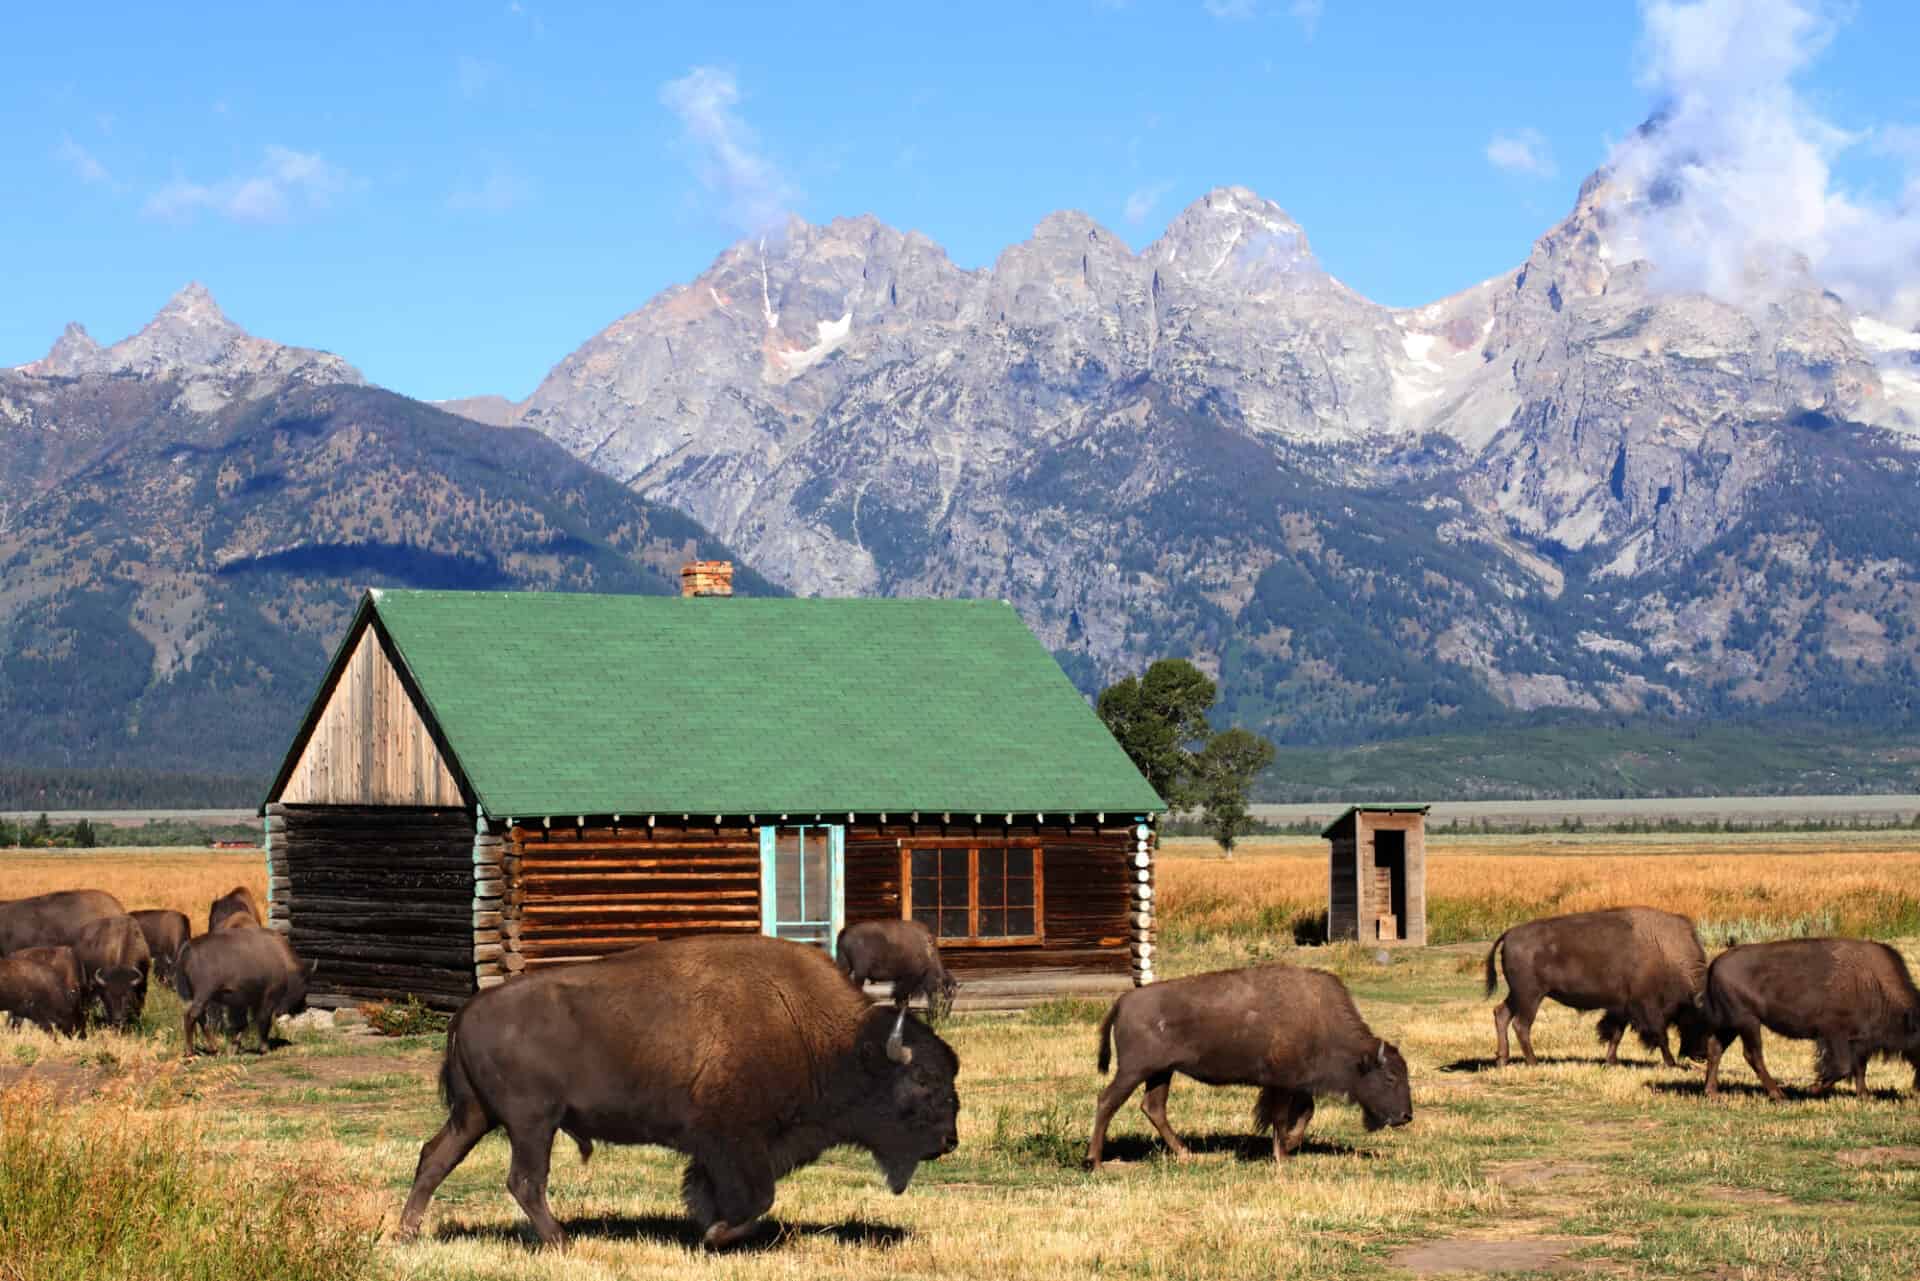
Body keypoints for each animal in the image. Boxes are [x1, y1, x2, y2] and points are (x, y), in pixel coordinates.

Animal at [174, 927, 310, 1056]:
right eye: (304, 984)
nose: (303, 1007)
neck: (283, 961)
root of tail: (188, 947)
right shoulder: (267, 999)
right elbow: (263, 1021)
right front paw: (265, 1049)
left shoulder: (246, 1003)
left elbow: (244, 1025)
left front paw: (233, 1049)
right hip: (204, 994)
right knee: (191, 1015)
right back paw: (191, 1052)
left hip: (197, 996)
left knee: (200, 1018)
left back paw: (214, 1049)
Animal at [398, 934, 962, 1250]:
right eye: (923, 1080)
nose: (950, 1141)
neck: (829, 1040)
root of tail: (468, 1011)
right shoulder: (734, 1140)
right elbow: (758, 1196)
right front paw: (714, 1236)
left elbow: (722, 1192)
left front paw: (706, 1224)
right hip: (532, 1123)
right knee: (524, 1181)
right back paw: (562, 1243)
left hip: (476, 1116)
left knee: (434, 1157)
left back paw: (408, 1232)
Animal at [1085, 963, 1412, 1170]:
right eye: (1390, 1077)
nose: (1406, 1116)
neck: (1320, 1021)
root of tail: (1123, 1000)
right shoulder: (1282, 1084)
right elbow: (1281, 1117)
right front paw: (1282, 1156)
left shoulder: (1297, 1085)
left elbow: (1305, 1112)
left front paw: (1289, 1146)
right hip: (1133, 1071)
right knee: (1108, 1101)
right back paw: (1095, 1162)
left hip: (1161, 1073)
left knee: (1153, 1107)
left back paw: (1187, 1154)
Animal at [1484, 906, 1708, 1068]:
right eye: (1699, 1021)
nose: (1701, 1056)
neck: (1665, 952)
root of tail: (1509, 933)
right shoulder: (1646, 1007)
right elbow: (1660, 1036)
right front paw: (1671, 1063)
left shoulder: (1621, 1008)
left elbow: (1616, 1034)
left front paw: (1611, 1062)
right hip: (1531, 996)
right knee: (1521, 1025)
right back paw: (1533, 1062)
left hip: (1518, 995)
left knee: (1501, 1014)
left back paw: (1502, 1060)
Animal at [1702, 938, 1920, 1101]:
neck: (1874, 982)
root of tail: (1714, 964)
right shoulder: (1834, 1034)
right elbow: (1843, 1067)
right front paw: (1812, 1089)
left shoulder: (1859, 1041)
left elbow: (1859, 1068)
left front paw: (1865, 1096)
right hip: (1748, 1022)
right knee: (1752, 1055)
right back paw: (1778, 1094)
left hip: (1731, 1025)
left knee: (1716, 1049)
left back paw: (1713, 1093)